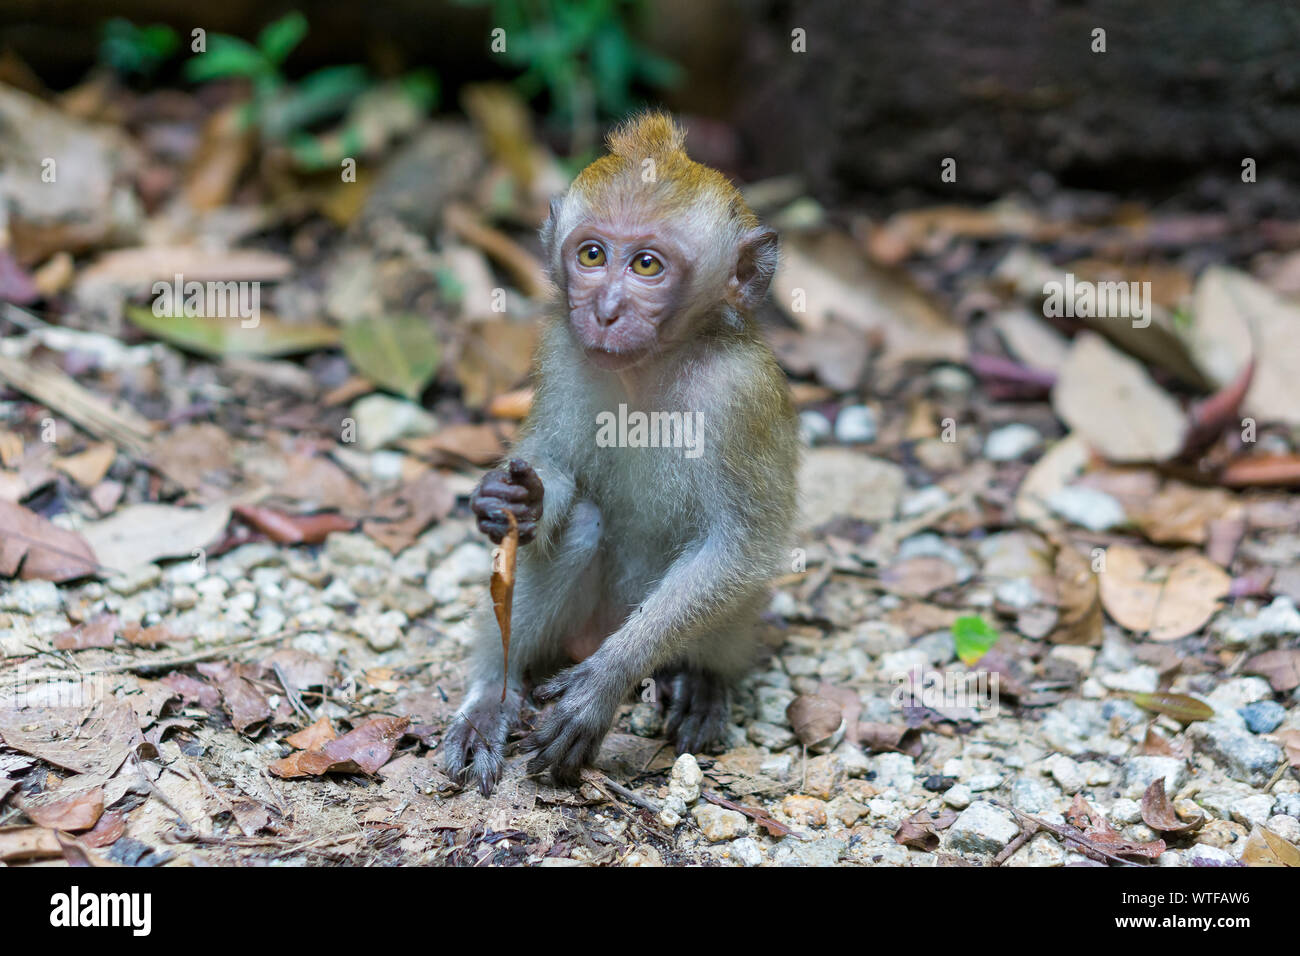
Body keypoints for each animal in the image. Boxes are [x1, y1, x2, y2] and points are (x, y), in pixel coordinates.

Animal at [441, 112, 799, 796]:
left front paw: (603, 686)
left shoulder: (739, 393)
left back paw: (697, 681)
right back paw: (493, 696)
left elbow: (739, 548)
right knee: (581, 522)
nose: (604, 311)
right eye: (592, 254)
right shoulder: (560, 352)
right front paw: (513, 497)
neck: (647, 368)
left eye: (647, 265)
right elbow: (548, 469)